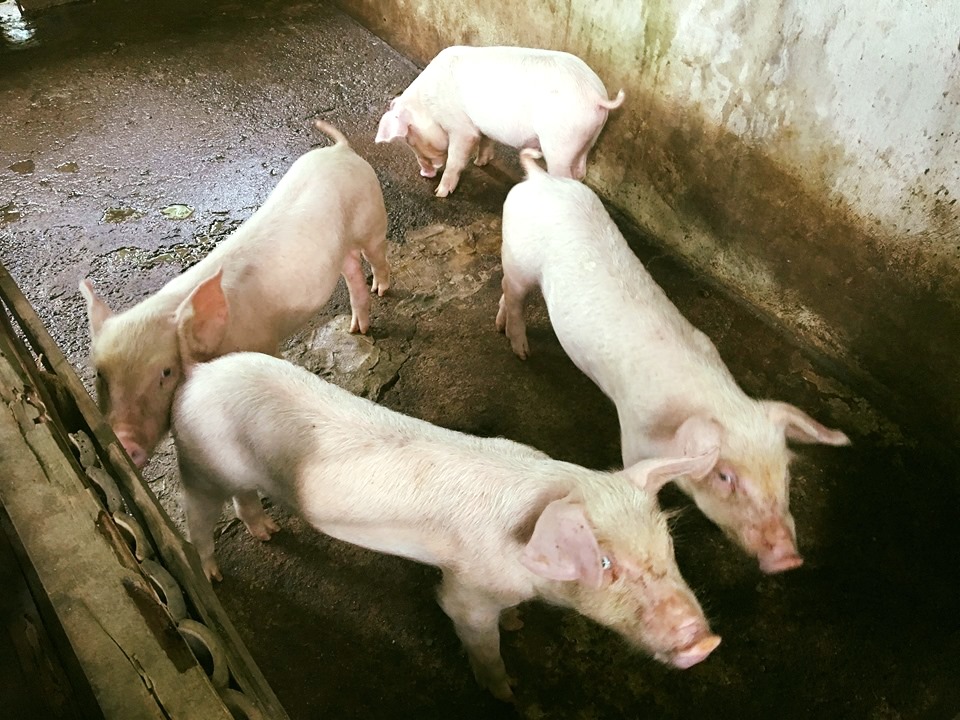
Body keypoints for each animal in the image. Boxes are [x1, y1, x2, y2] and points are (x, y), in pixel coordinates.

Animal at [79, 120, 390, 468]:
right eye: (99, 374)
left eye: (165, 372)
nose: (123, 440)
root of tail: (341, 150)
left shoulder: (261, 341)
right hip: (341, 248)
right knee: (351, 271)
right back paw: (356, 329)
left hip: (371, 220)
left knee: (377, 256)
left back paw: (382, 289)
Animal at [171, 351, 723, 701]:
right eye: (605, 562)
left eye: (667, 546)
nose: (707, 642)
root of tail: (198, 374)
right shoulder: (467, 588)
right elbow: (476, 635)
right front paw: (506, 692)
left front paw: (517, 624)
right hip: (199, 464)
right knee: (197, 519)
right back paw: (212, 577)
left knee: (244, 498)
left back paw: (268, 533)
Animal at [375, 45, 624, 197]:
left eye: (410, 138)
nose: (424, 173)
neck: (429, 105)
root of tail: (596, 95)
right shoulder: (481, 127)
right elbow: (486, 140)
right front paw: (480, 163)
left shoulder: (461, 128)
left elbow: (456, 159)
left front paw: (440, 193)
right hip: (587, 139)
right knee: (580, 172)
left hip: (561, 142)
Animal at [496, 150, 850, 574]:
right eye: (725, 476)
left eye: (785, 472)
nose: (790, 559)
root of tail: (540, 179)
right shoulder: (632, 434)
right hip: (517, 258)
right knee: (513, 293)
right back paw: (519, 349)